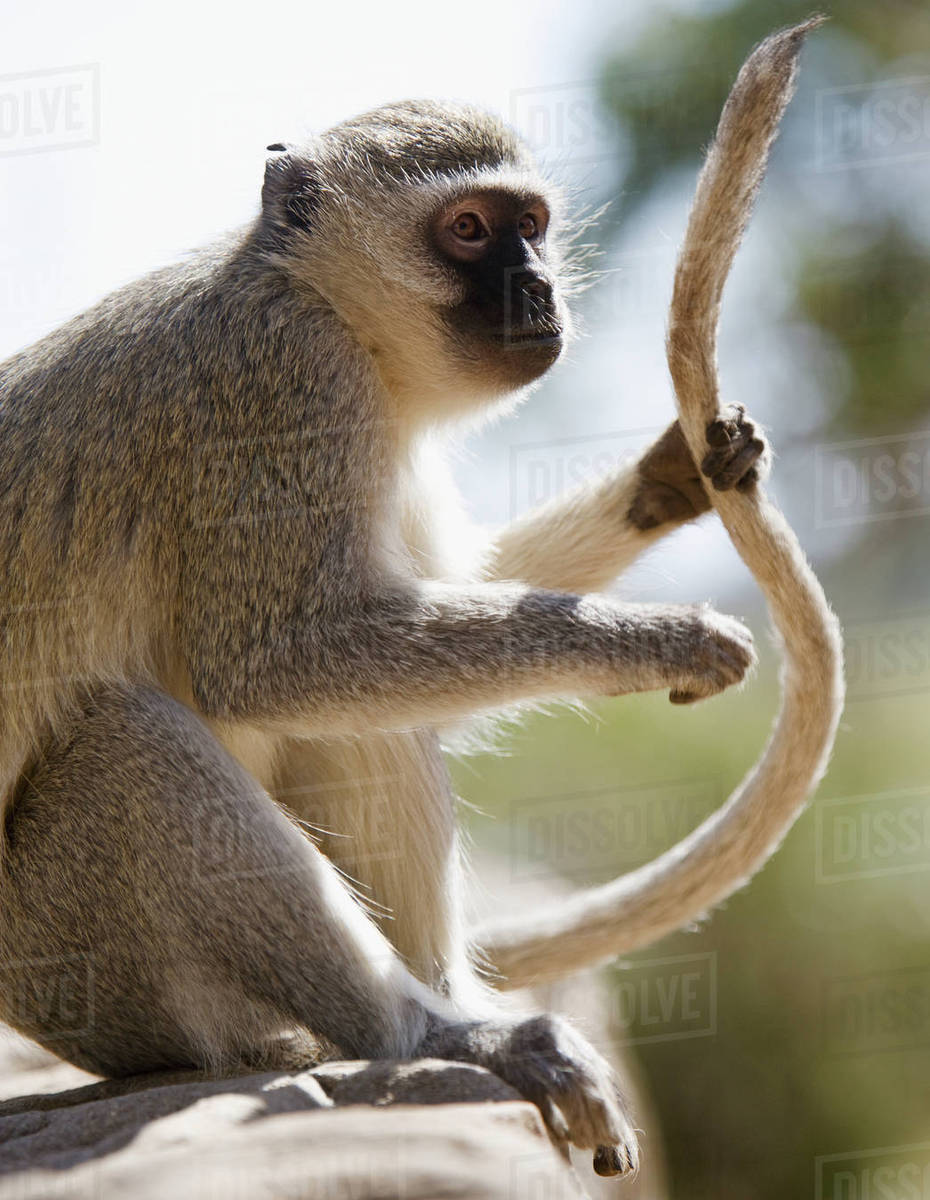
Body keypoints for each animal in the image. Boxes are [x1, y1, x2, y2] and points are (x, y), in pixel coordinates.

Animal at [0, 98, 775, 1179]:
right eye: (469, 230)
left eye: (532, 222)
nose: (538, 286)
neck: (315, 295)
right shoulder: (290, 381)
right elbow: (273, 662)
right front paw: (654, 640)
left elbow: (431, 600)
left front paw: (672, 476)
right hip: (83, 964)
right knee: (134, 746)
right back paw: (434, 1032)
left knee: (361, 719)